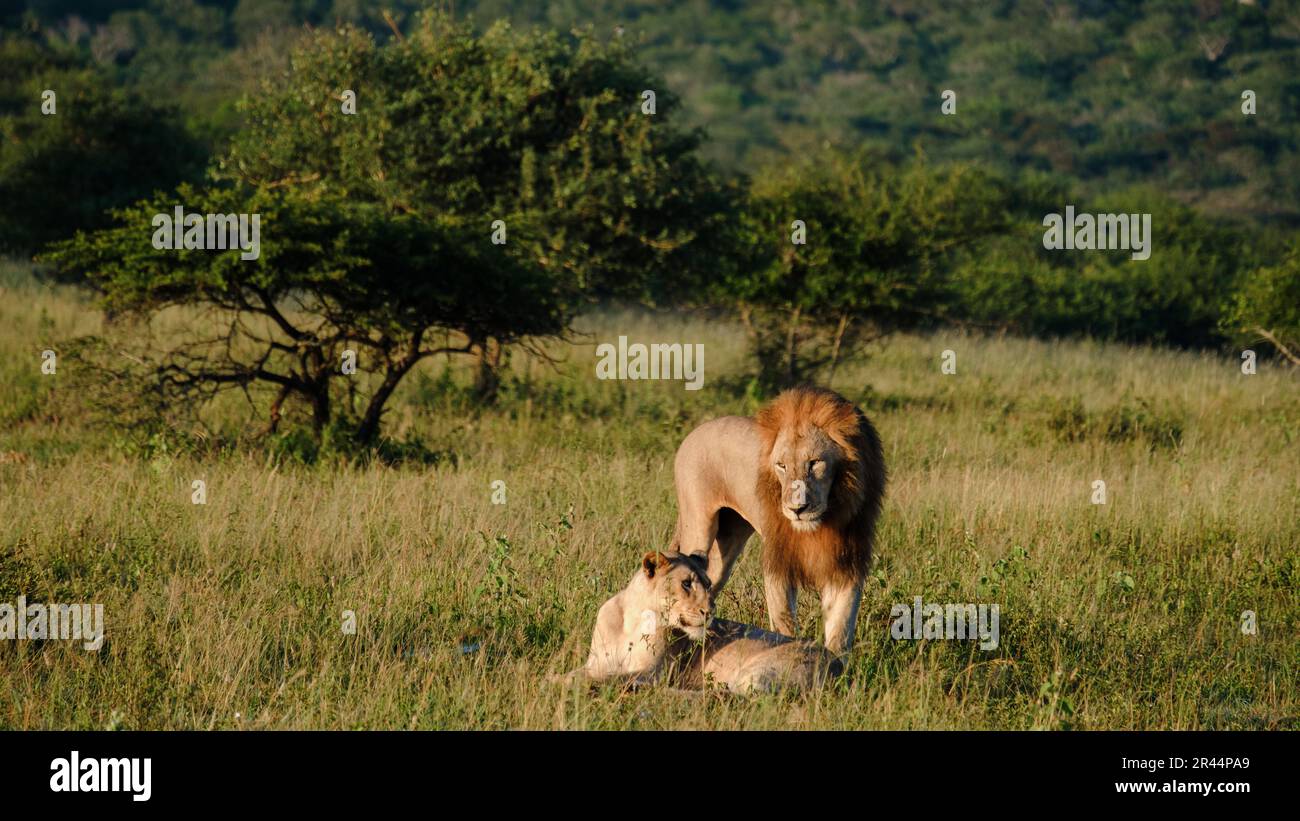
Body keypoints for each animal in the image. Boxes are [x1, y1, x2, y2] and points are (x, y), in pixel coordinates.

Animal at [557, 551, 841, 693]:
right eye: (686, 583)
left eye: (707, 583)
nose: (710, 610)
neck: (634, 619)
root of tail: (841, 668)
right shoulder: (596, 662)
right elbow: (582, 673)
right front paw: (555, 678)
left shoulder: (654, 672)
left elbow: (611, 677)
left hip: (759, 671)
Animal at [669, 385, 885, 654]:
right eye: (781, 465)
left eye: (815, 463)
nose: (797, 509)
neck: (823, 520)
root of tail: (694, 432)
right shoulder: (779, 561)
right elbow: (784, 624)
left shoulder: (847, 561)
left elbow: (841, 630)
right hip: (698, 526)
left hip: (727, 545)